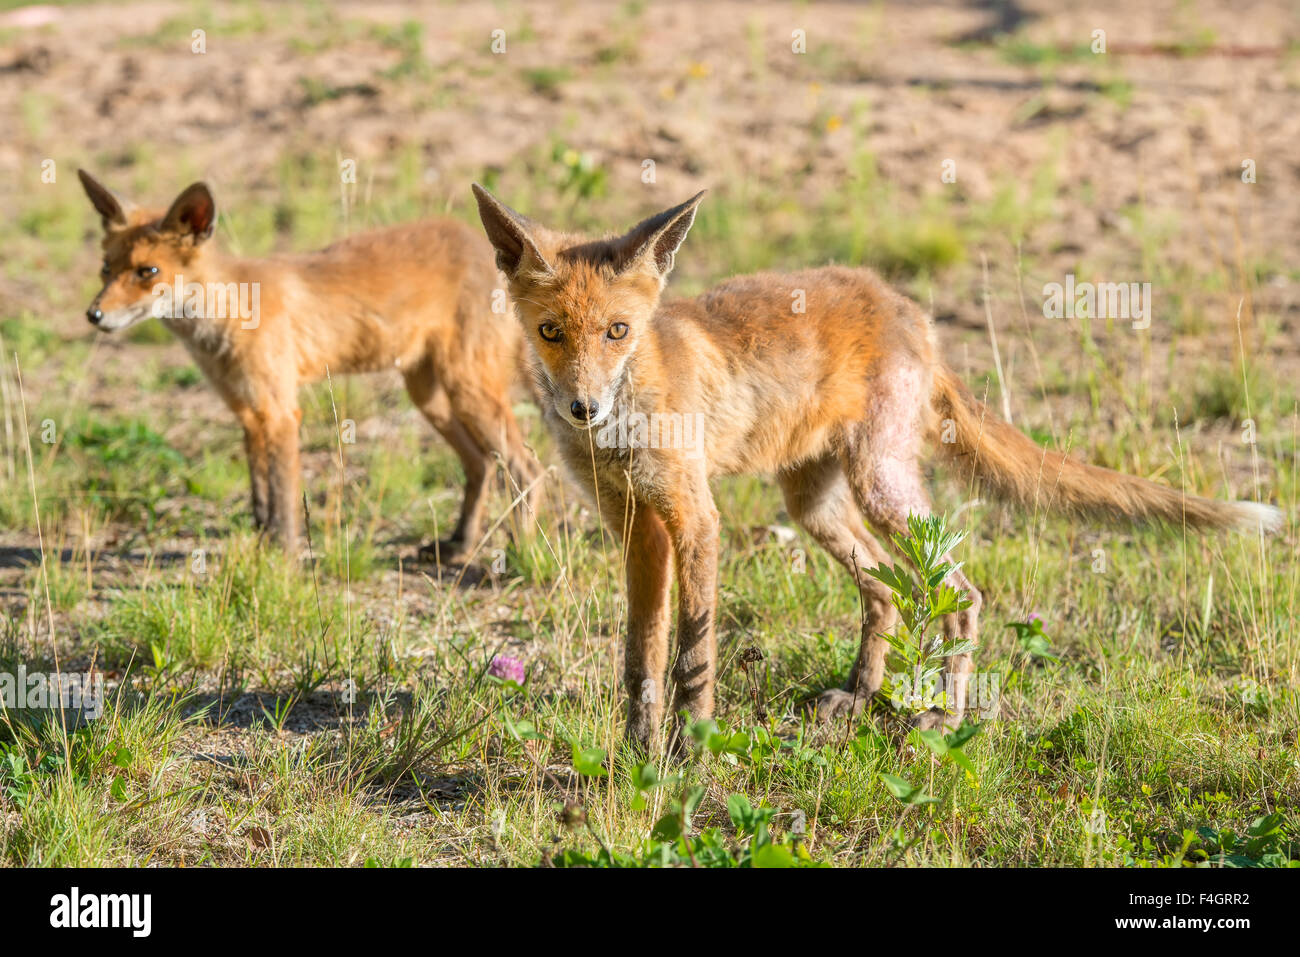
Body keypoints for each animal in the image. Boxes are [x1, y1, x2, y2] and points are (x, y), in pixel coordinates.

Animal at [78, 169, 541, 559]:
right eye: (106, 268)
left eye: (148, 271)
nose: (94, 315)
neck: (232, 314)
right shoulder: (248, 413)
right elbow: (260, 497)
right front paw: (262, 545)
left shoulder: (281, 412)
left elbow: (283, 498)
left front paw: (283, 558)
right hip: (429, 396)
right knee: (482, 465)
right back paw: (460, 545)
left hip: (467, 390)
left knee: (525, 467)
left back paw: (520, 554)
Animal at [471, 182, 1283, 750]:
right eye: (551, 332)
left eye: (617, 331)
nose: (583, 408)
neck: (621, 430)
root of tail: (909, 307)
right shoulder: (636, 525)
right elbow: (640, 655)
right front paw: (639, 751)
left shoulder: (695, 518)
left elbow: (691, 652)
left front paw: (690, 748)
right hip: (816, 504)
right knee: (885, 589)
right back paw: (860, 695)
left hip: (883, 487)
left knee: (963, 590)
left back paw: (945, 716)